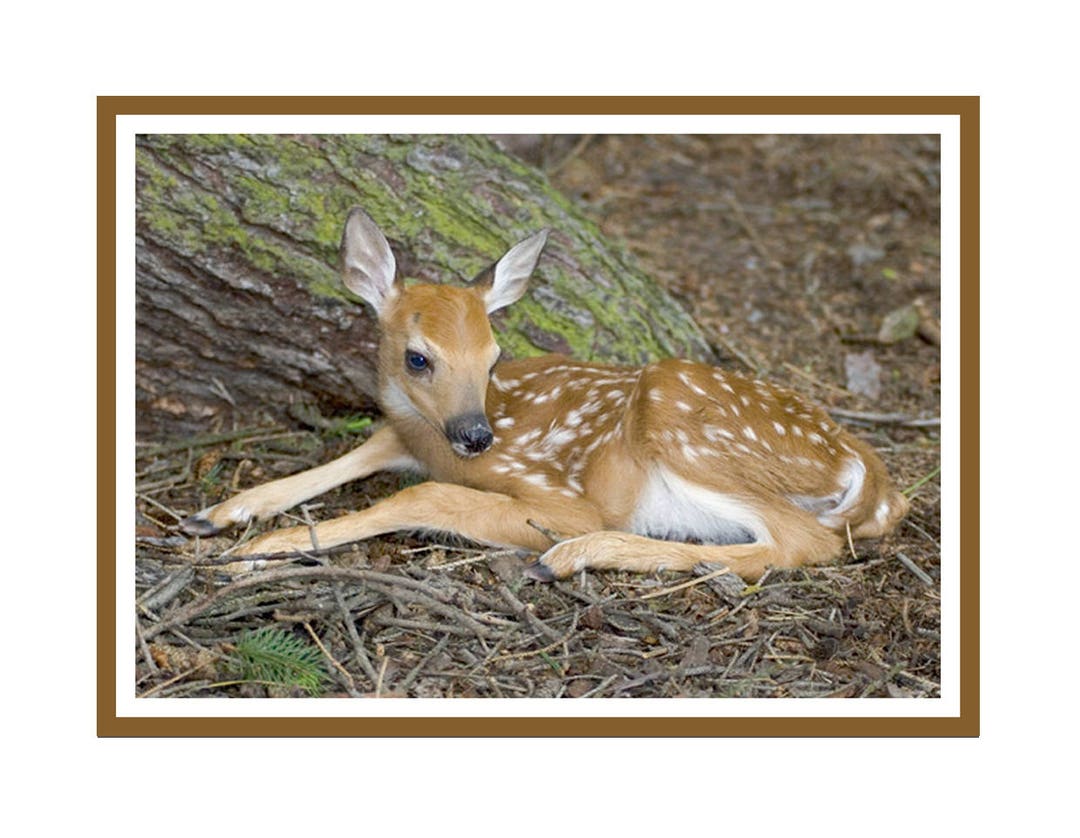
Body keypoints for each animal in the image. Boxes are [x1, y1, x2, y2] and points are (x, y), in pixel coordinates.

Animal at [180, 207, 909, 581]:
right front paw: (222, 512)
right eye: (418, 357)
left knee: (798, 543)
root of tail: (874, 476)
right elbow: (367, 445)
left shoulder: (562, 496)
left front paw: (255, 551)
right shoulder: (408, 430)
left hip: (680, 417)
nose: (477, 435)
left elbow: (423, 494)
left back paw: (570, 557)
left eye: (494, 358)